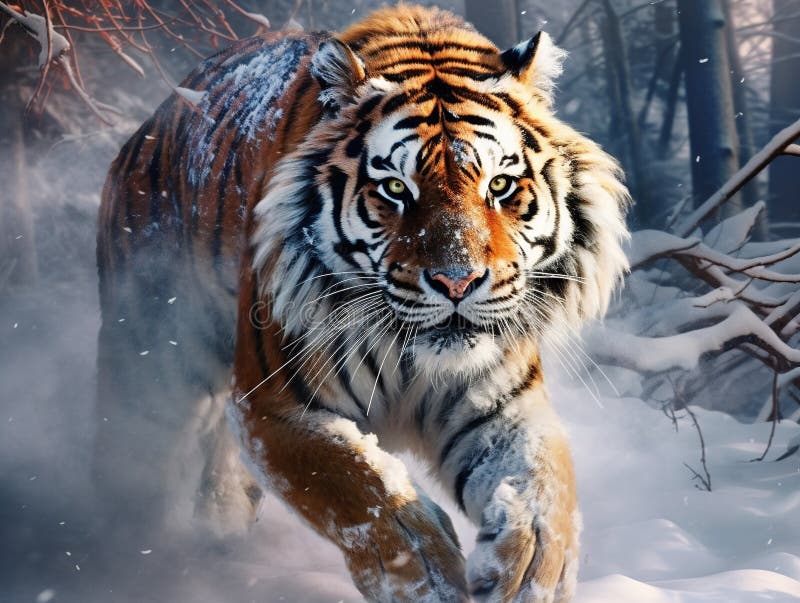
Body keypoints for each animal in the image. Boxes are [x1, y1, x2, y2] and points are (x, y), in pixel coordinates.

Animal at [96, 4, 630, 602]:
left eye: (500, 185)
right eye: (396, 189)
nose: (458, 282)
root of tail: (154, 118)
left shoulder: (500, 402)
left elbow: (545, 483)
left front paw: (528, 573)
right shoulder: (274, 405)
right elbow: (358, 483)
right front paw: (425, 574)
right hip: (148, 358)